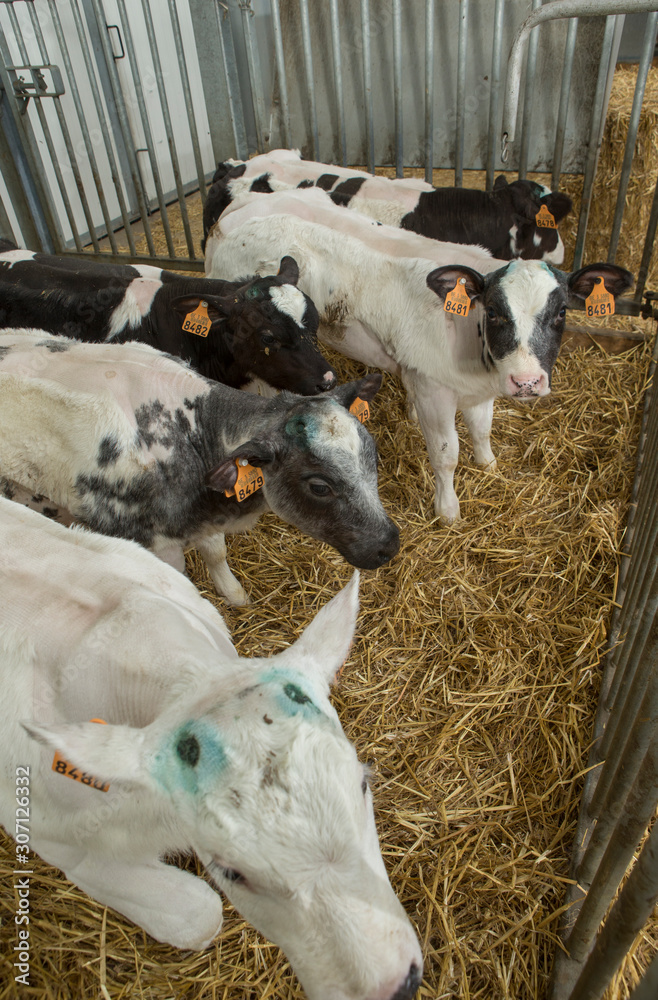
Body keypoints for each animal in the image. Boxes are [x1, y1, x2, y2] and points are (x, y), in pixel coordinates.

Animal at [0, 331, 399, 604]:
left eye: (373, 456)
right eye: (319, 487)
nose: (389, 544)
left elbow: (215, 552)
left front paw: (235, 595)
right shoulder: (155, 543)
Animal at [204, 190, 633, 523]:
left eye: (561, 313)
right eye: (494, 311)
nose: (527, 381)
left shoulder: (479, 389)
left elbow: (482, 430)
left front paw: (489, 466)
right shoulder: (432, 389)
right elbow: (446, 455)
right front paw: (448, 510)